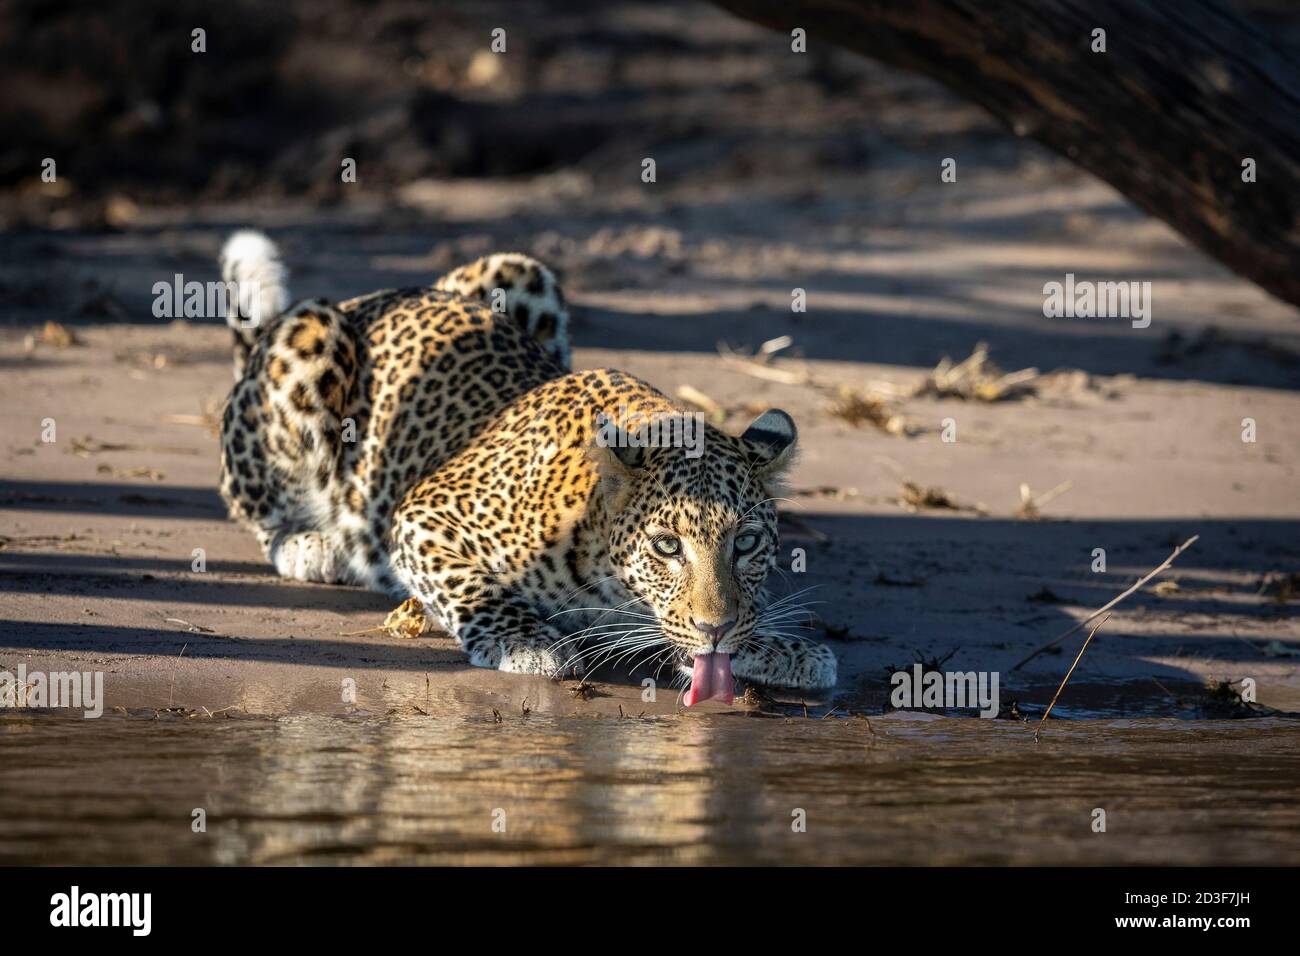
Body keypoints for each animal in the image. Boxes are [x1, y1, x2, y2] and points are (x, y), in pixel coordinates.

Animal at [216, 230, 836, 703]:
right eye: (667, 547)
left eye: (746, 542)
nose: (716, 630)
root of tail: (361, 300)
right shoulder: (424, 513)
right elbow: (470, 585)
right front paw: (525, 642)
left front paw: (776, 645)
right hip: (311, 345)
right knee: (258, 507)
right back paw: (312, 545)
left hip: (522, 272)